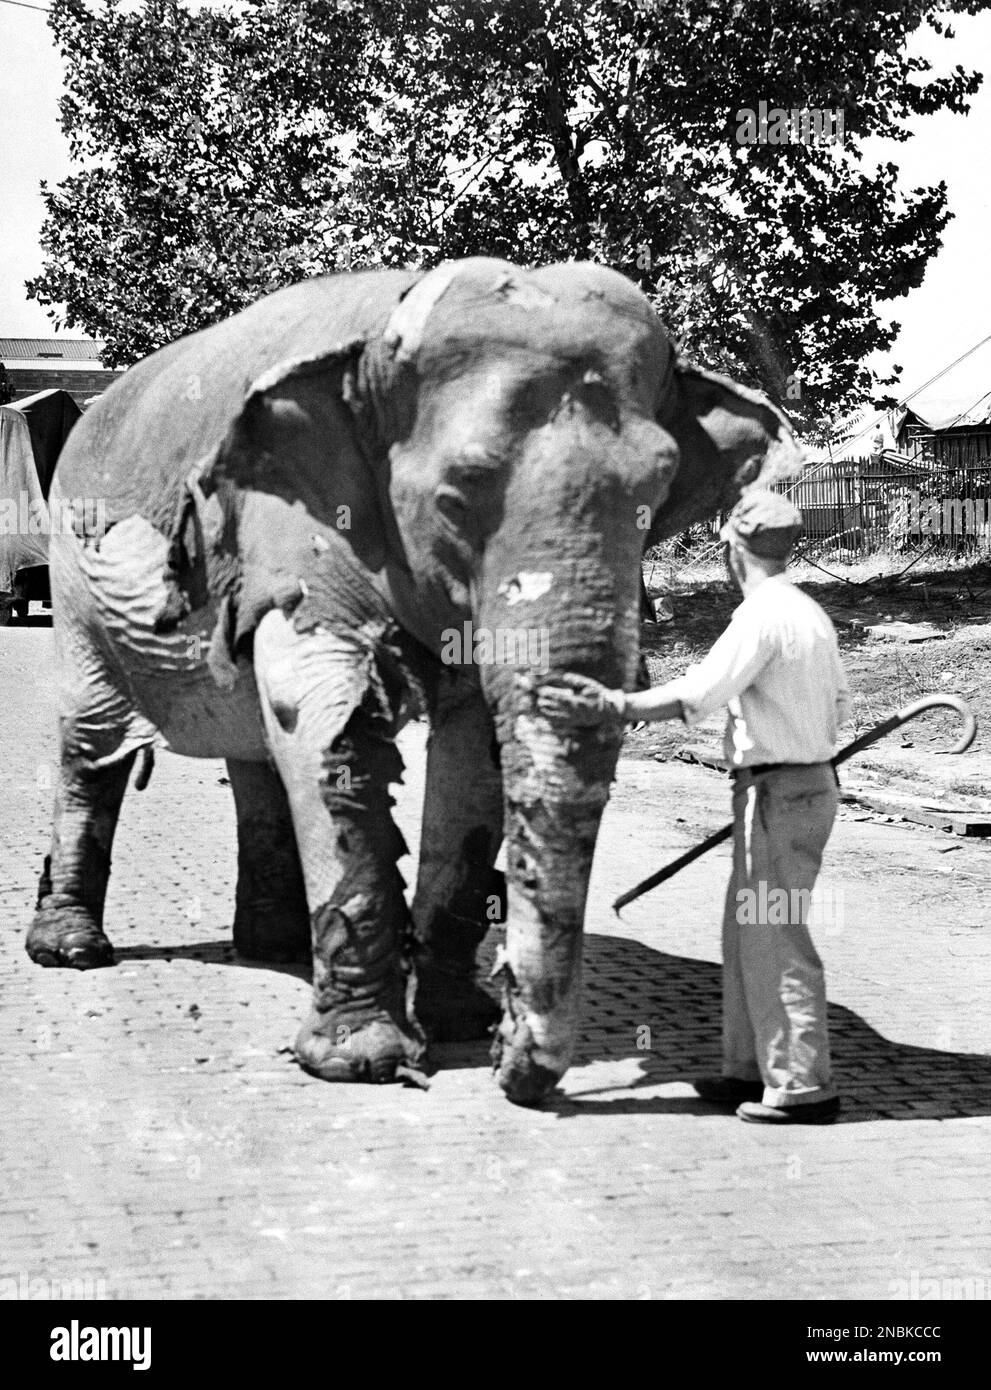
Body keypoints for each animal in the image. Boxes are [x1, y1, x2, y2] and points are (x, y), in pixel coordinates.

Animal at [25, 257, 802, 1105]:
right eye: (455, 499)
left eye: (651, 503)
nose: (511, 1067)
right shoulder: (294, 523)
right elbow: (328, 726)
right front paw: (364, 1062)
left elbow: (473, 754)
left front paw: (460, 1022)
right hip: (74, 585)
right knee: (91, 741)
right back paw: (71, 949)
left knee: (252, 751)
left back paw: (275, 949)